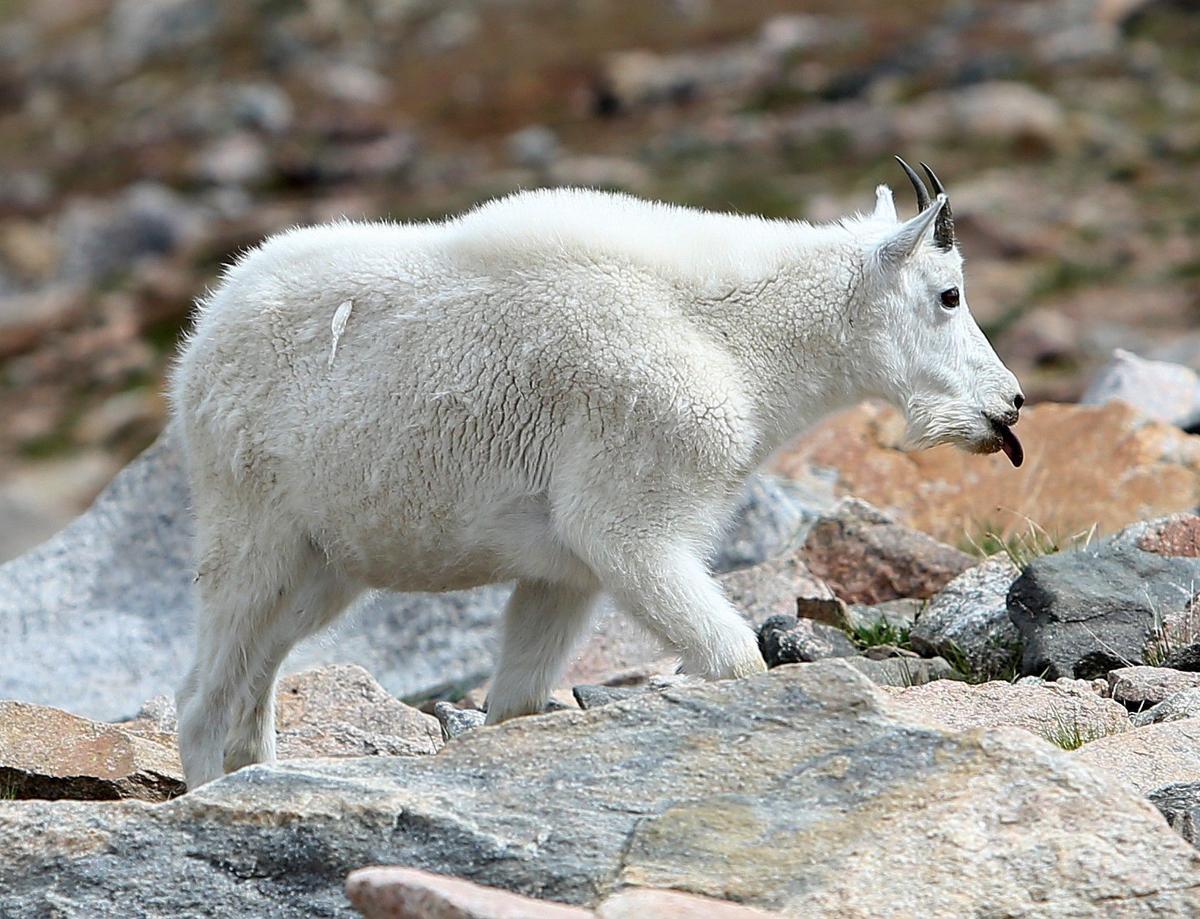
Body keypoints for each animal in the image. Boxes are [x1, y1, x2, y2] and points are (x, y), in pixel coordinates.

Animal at [171, 158, 1024, 789]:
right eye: (949, 294)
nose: (1010, 405)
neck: (736, 335)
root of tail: (200, 335)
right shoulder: (631, 511)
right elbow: (731, 655)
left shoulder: (562, 570)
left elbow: (517, 700)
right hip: (248, 524)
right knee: (202, 691)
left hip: (323, 561)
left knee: (258, 669)